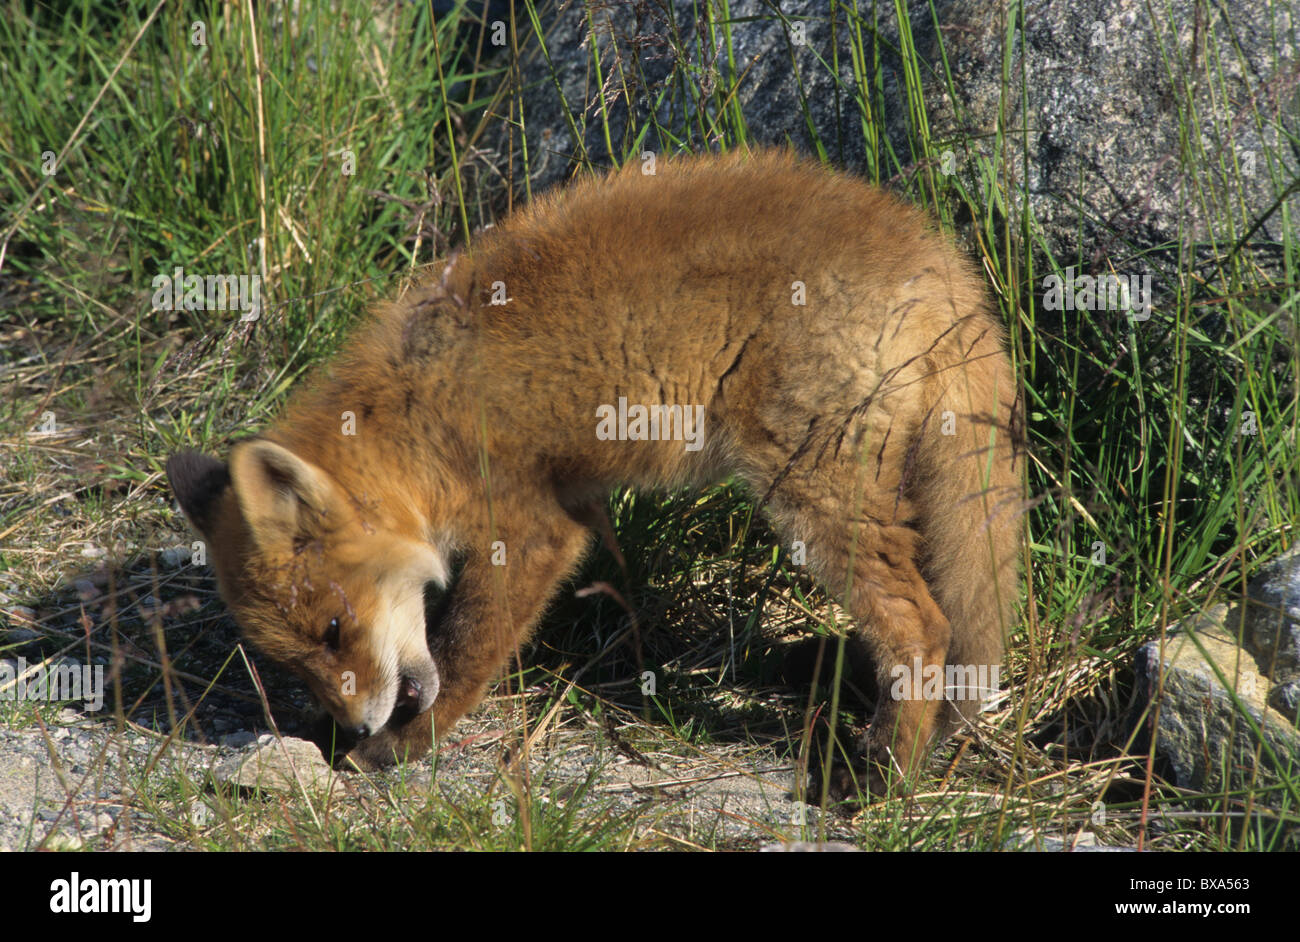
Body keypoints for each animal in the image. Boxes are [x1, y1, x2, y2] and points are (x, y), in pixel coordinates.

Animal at [167, 148, 1022, 797]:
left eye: (336, 629)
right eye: (297, 660)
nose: (355, 723)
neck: (416, 411)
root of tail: (934, 253)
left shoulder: (533, 531)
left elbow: (465, 650)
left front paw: (401, 747)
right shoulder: (577, 501)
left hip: (813, 494)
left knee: (924, 628)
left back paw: (881, 779)